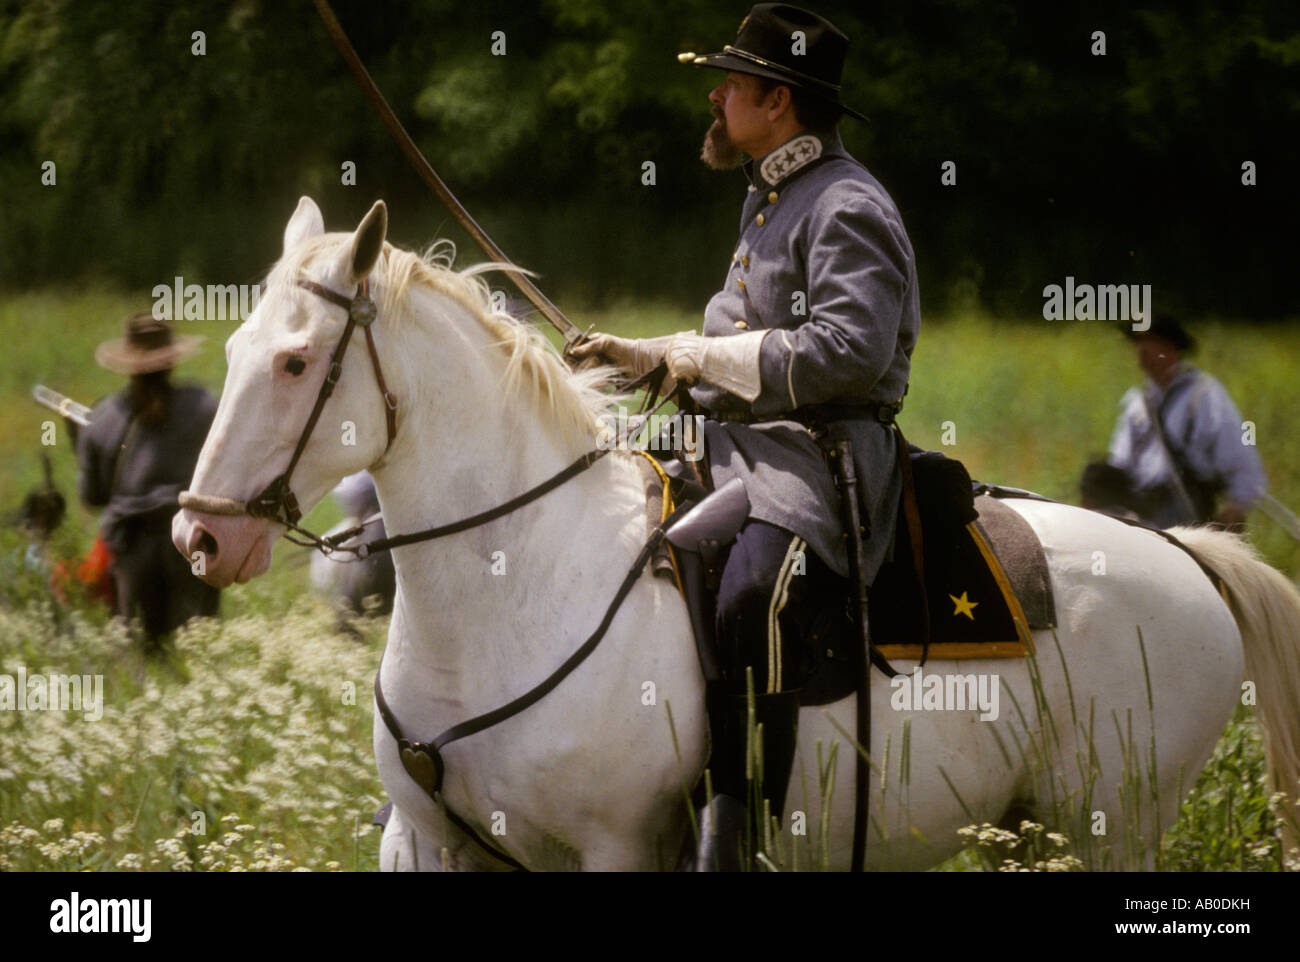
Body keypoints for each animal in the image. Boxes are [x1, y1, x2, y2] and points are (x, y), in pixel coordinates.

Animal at [172, 197, 1300, 871]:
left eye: (295, 362)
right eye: (231, 348)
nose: (201, 539)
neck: (514, 587)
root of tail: (1185, 552)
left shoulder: (615, 848)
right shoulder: (425, 843)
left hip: (1111, 830)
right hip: (1029, 835)